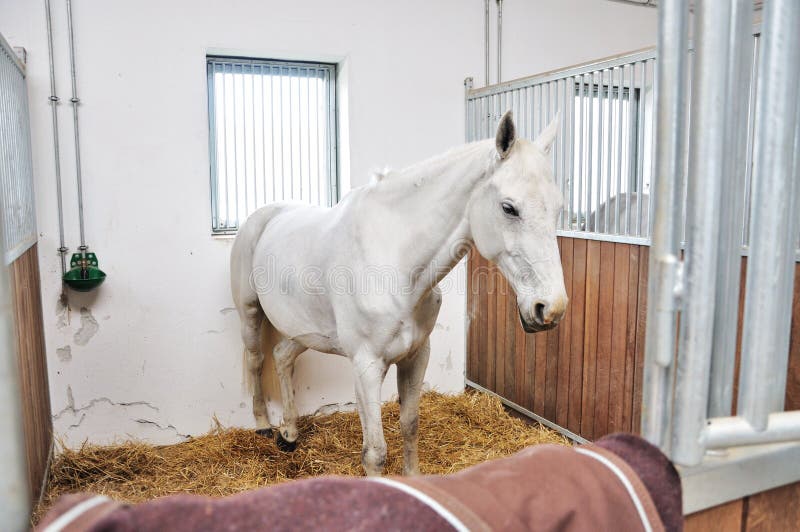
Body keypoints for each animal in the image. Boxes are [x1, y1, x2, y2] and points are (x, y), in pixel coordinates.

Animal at [230, 111, 568, 476]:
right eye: (509, 208)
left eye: (558, 208)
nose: (551, 307)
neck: (394, 261)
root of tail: (261, 217)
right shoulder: (366, 367)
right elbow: (375, 453)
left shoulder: (416, 356)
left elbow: (410, 425)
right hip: (250, 314)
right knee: (256, 359)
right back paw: (263, 425)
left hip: (307, 331)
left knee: (282, 356)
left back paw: (289, 434)